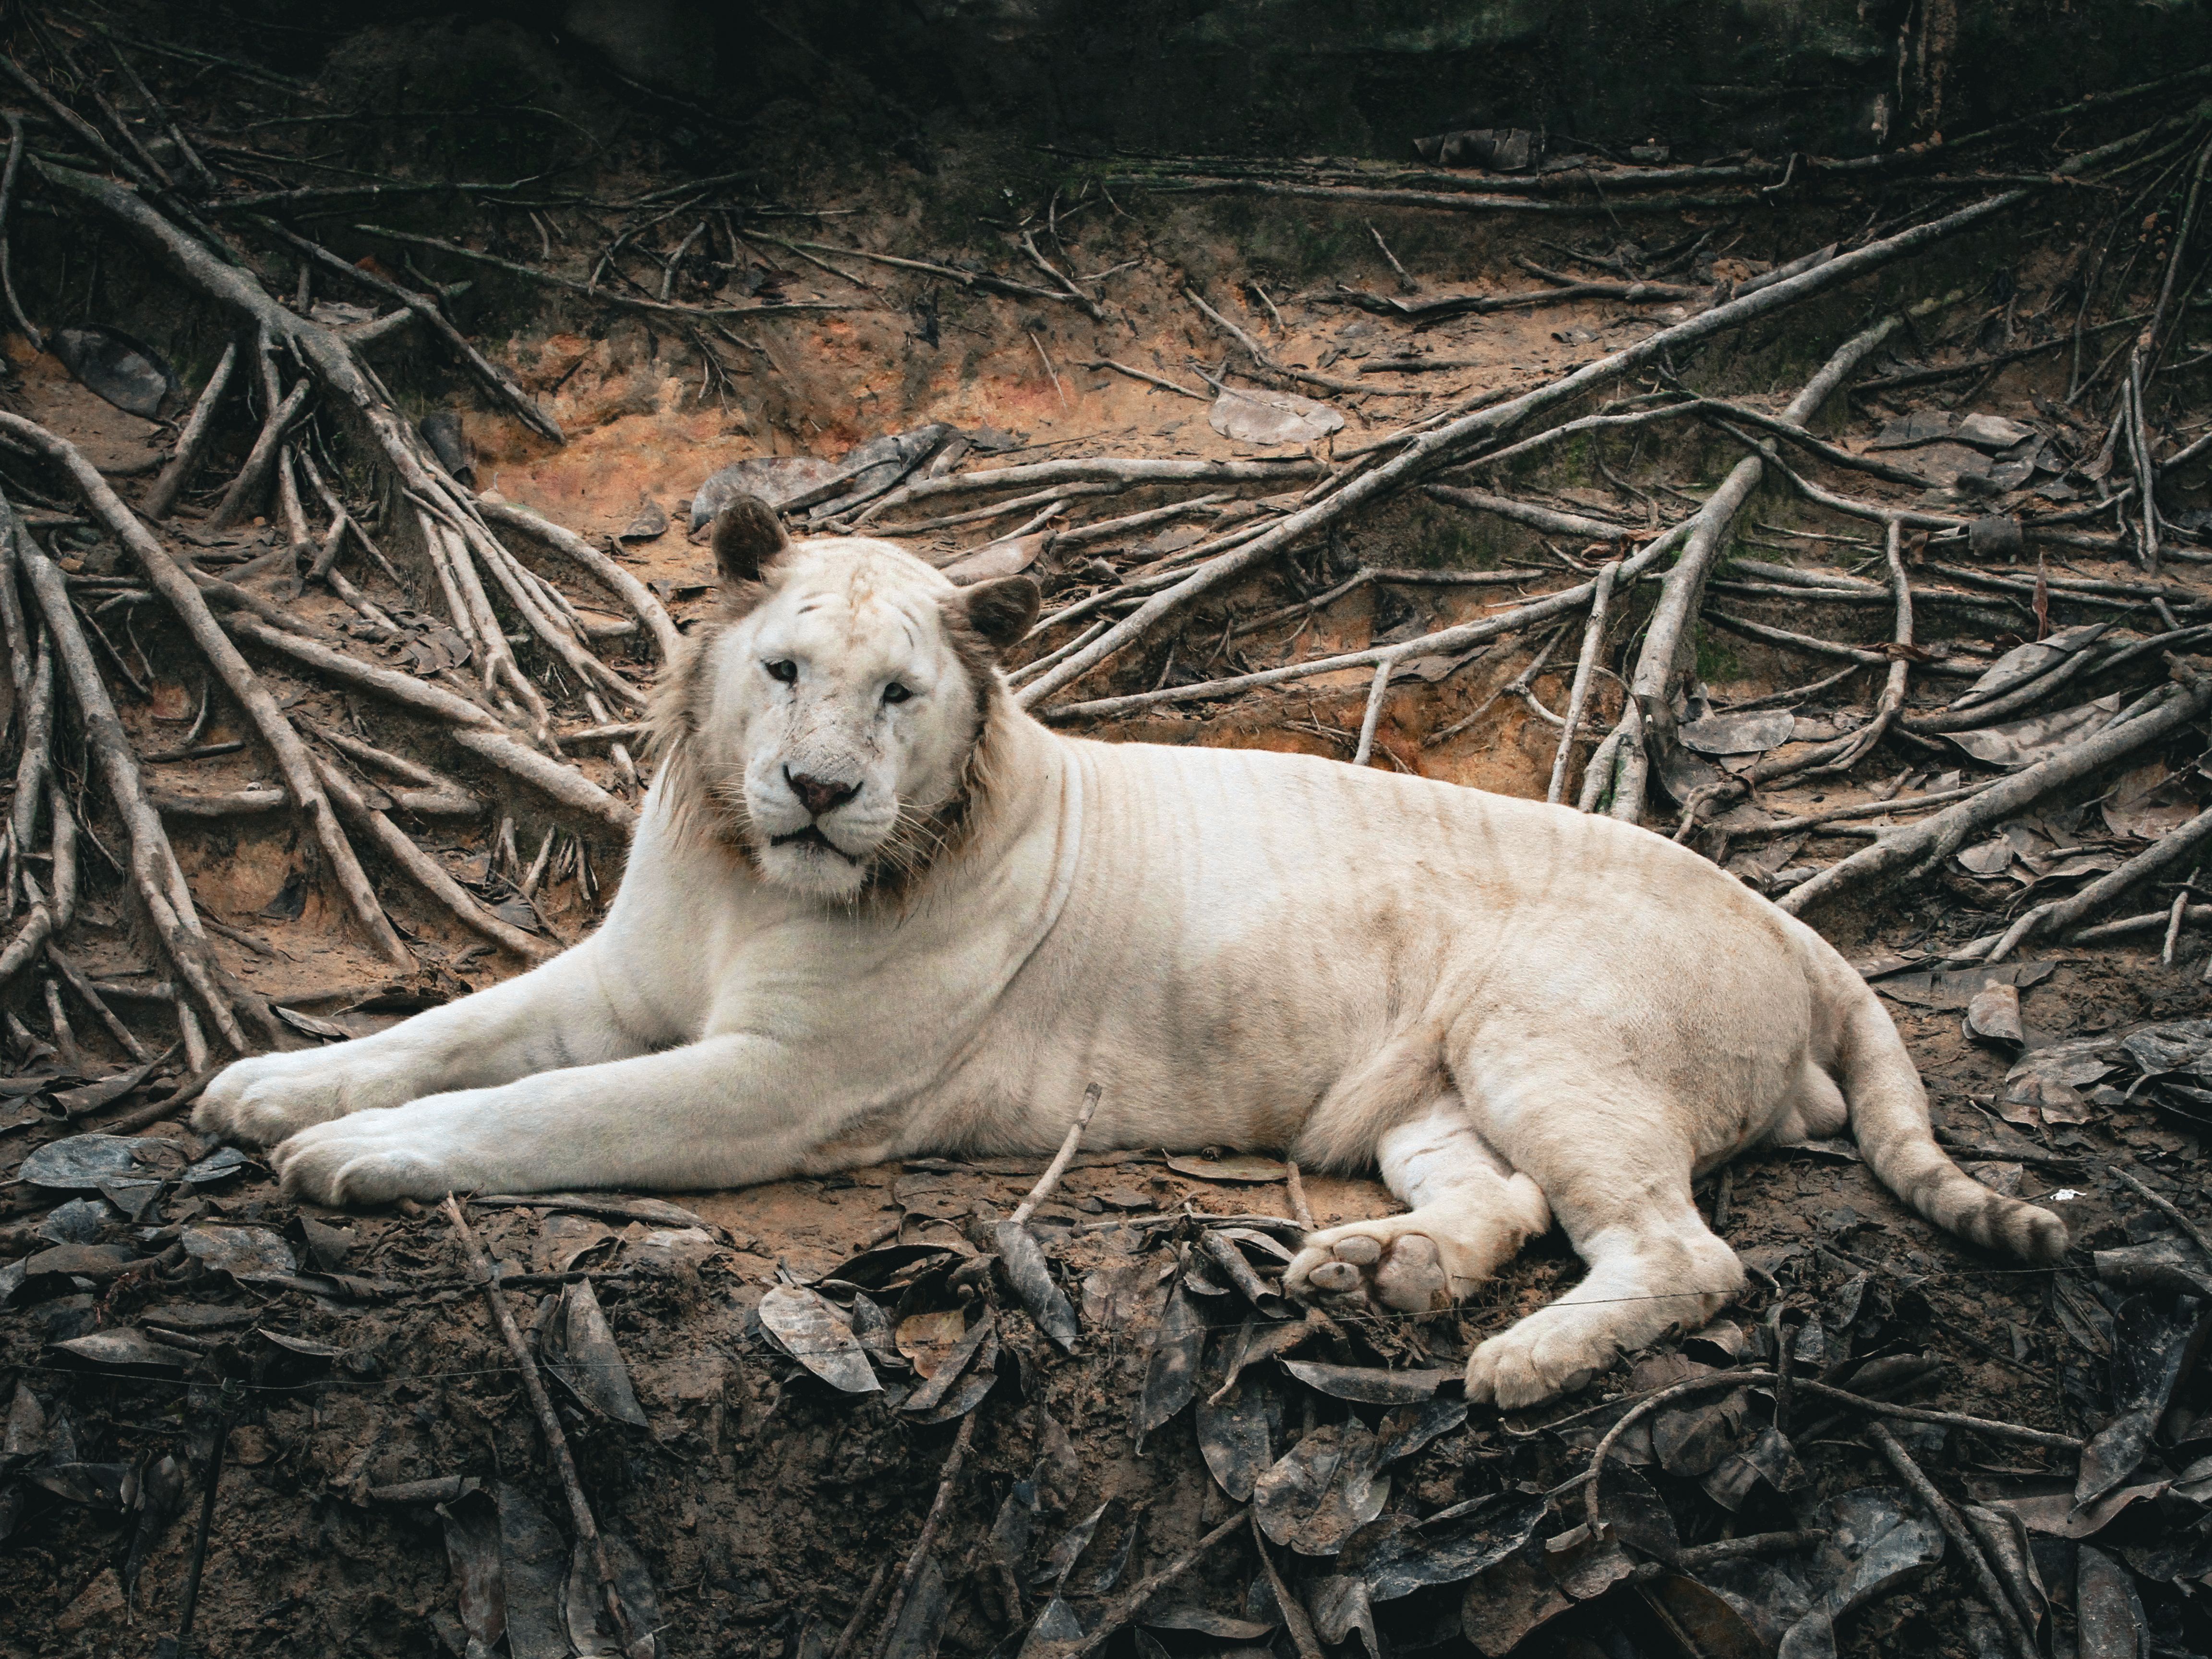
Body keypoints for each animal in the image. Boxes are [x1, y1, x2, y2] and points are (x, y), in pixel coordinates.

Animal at [196, 496, 2066, 1407]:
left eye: (898, 696)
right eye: (786, 669)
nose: (819, 791)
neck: (748, 875)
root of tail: (1792, 921)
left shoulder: (777, 1086)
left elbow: (538, 1115)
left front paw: (348, 1155)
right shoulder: (618, 978)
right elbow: (453, 1030)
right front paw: (264, 1085)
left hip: (1552, 1036)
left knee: (1683, 1255)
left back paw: (1514, 1365)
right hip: (1429, 1089)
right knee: (1505, 1208)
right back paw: (1369, 1276)